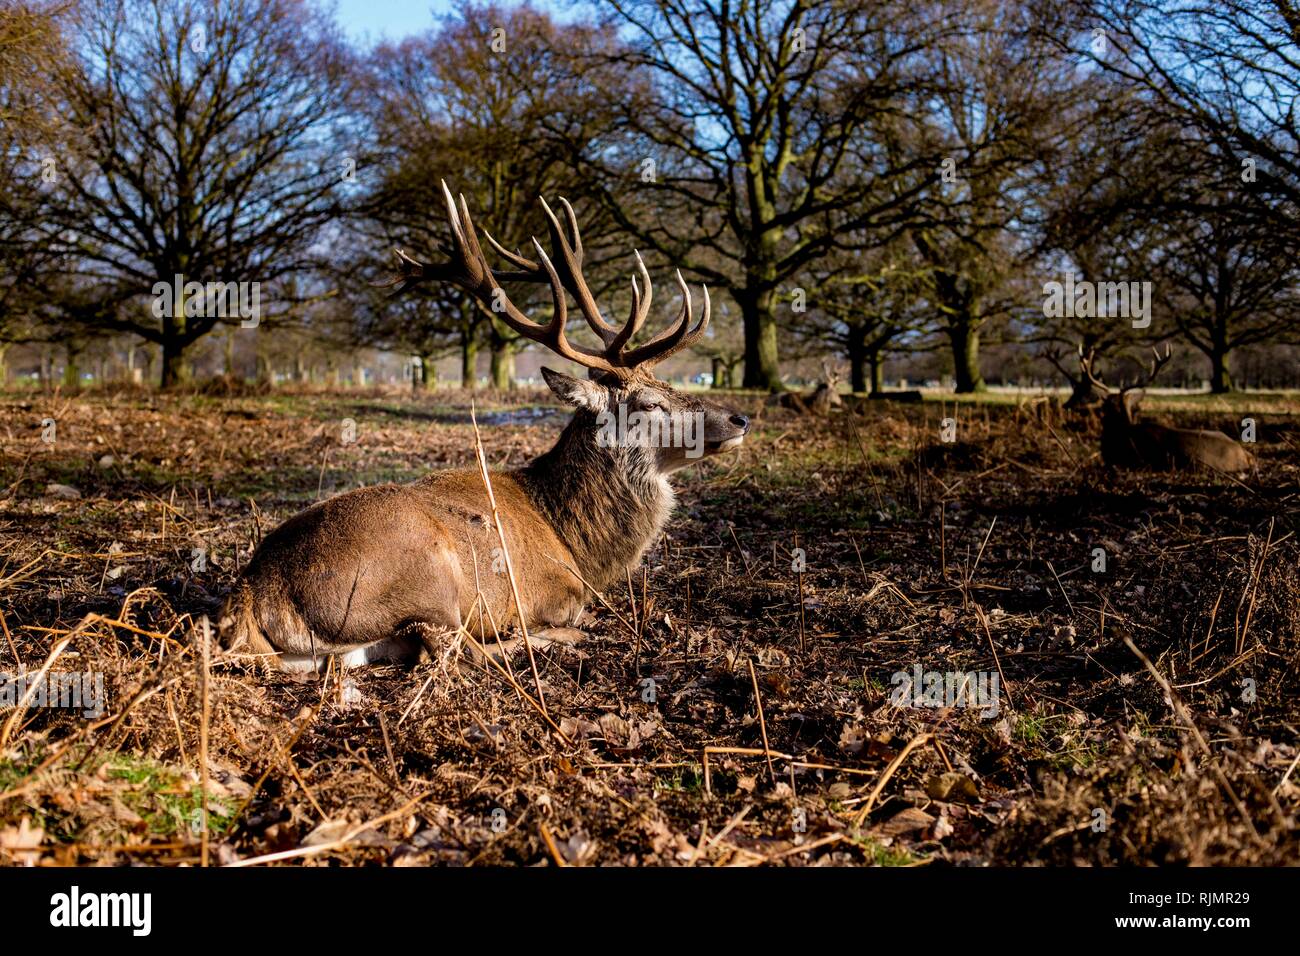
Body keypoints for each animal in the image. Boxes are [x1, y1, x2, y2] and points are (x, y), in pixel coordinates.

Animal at [219, 184, 750, 672]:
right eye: (650, 403)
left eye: (667, 383)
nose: (739, 418)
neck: (576, 543)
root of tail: (256, 590)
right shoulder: (559, 590)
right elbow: (573, 612)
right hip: (430, 576)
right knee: (456, 651)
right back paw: (550, 639)